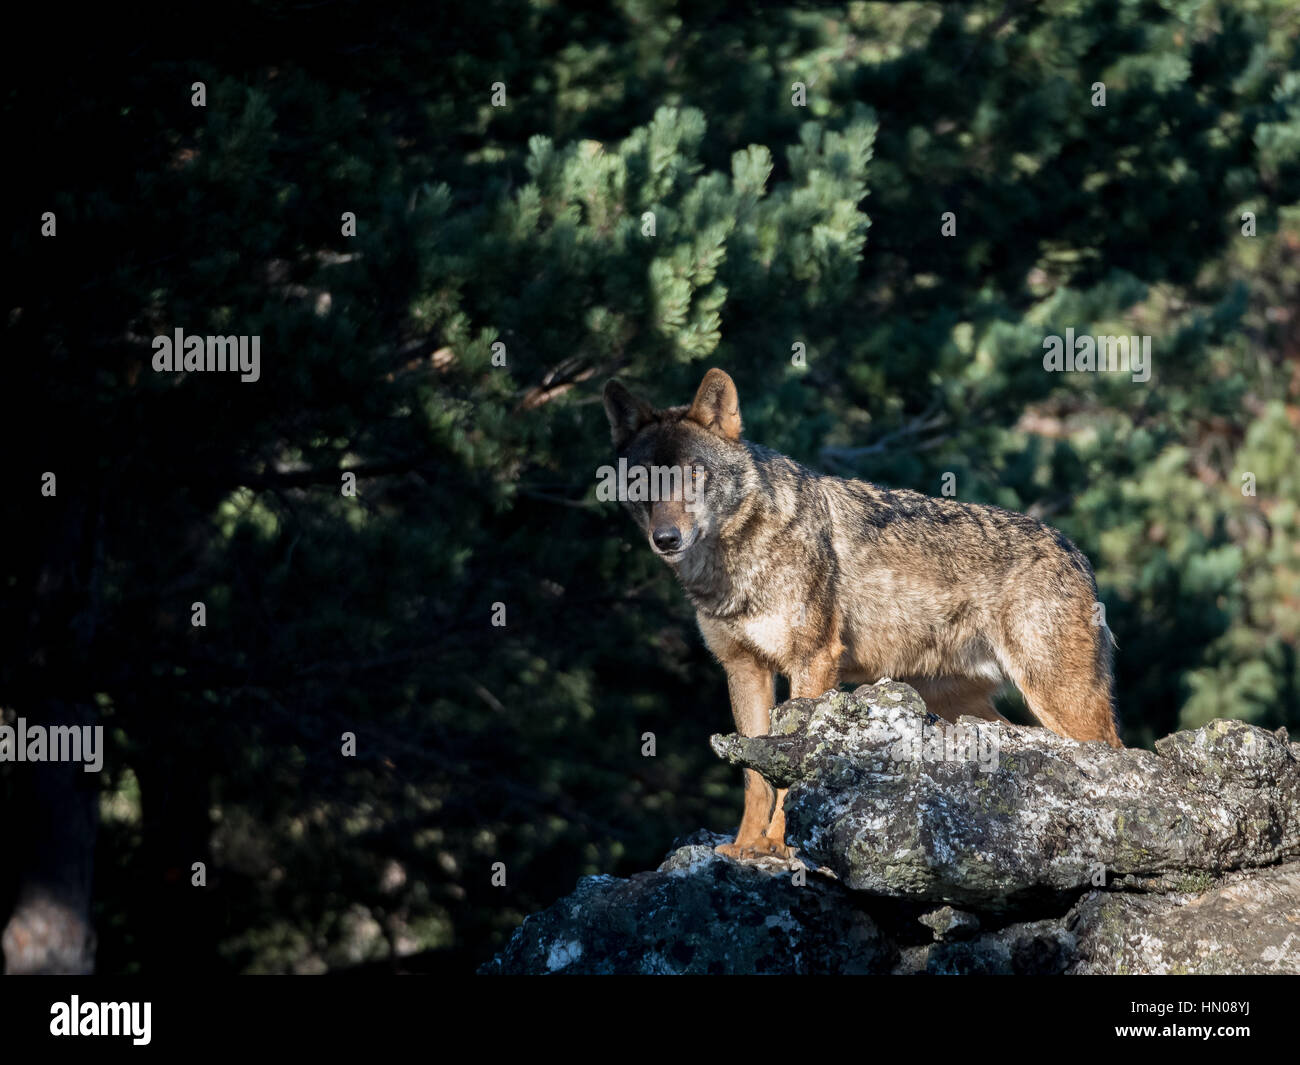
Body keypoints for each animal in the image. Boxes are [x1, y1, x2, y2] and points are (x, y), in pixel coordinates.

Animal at [604, 368, 1122, 860]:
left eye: (694, 474)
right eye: (643, 480)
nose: (665, 539)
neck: (735, 567)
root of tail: (1076, 551)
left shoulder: (813, 661)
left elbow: (793, 775)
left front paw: (780, 844)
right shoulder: (744, 668)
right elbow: (756, 777)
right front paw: (746, 847)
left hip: (1061, 704)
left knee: (1118, 756)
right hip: (966, 710)